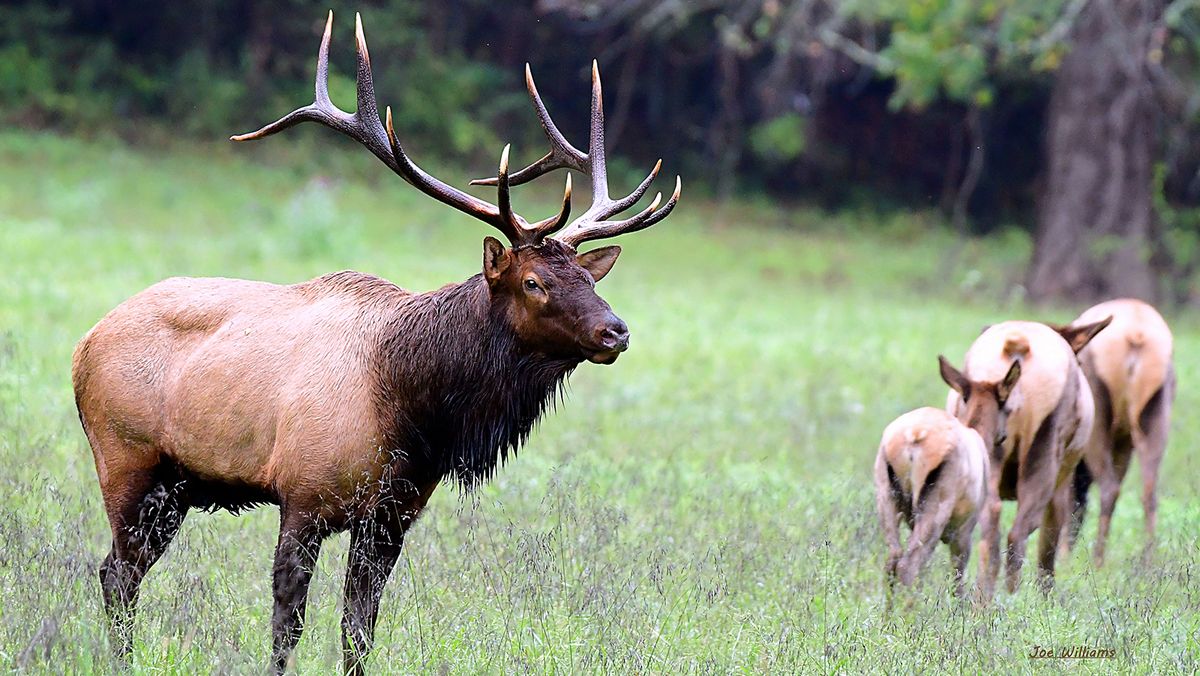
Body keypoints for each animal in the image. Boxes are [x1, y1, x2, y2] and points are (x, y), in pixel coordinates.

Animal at [72, 12, 680, 674]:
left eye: (589, 279)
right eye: (534, 282)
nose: (616, 330)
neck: (414, 412)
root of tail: (83, 345)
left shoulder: (391, 517)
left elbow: (359, 628)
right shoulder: (302, 495)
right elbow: (287, 621)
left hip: (178, 486)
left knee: (122, 572)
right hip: (126, 458)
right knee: (117, 573)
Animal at [874, 406, 989, 602]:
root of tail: (916, 434)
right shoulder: (964, 532)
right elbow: (958, 574)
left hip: (888, 500)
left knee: (893, 559)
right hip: (935, 512)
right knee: (909, 566)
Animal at [938, 316, 1110, 599]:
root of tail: (1017, 345)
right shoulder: (1061, 484)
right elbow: (1049, 546)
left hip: (987, 447)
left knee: (990, 521)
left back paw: (977, 598)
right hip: (1045, 447)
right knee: (1018, 532)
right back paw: (1012, 597)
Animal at [1060, 299, 1174, 566]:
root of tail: (1136, 336)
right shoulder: (1123, 442)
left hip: (1097, 418)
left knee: (1109, 488)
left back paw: (1096, 561)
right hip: (1154, 415)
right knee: (1149, 494)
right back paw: (1148, 560)